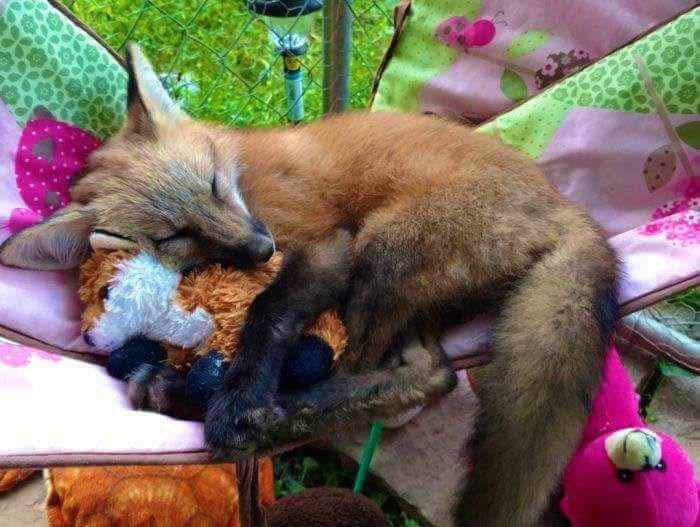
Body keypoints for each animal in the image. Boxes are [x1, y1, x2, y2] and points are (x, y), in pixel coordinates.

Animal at [0, 43, 619, 526]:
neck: (249, 175)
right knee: (427, 370)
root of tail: (571, 212)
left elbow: (268, 312)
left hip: (379, 253)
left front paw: (239, 396)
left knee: (402, 374)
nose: (261, 250)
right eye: (175, 236)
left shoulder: (329, 244)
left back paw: (233, 408)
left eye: (214, 186)